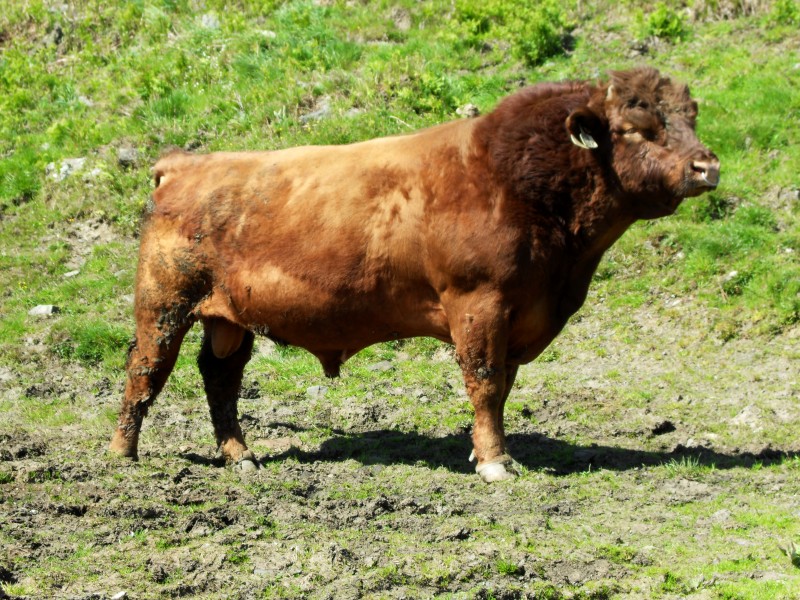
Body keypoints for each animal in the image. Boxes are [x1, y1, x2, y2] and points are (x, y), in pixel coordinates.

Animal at [108, 67, 719, 482]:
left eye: (691, 117)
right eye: (636, 128)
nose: (706, 165)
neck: (514, 179)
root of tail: (186, 164)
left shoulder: (516, 316)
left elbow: (501, 386)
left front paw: (484, 449)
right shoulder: (479, 304)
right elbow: (485, 381)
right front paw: (495, 463)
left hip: (230, 319)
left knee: (220, 377)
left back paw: (240, 456)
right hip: (163, 305)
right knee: (146, 371)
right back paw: (123, 453)